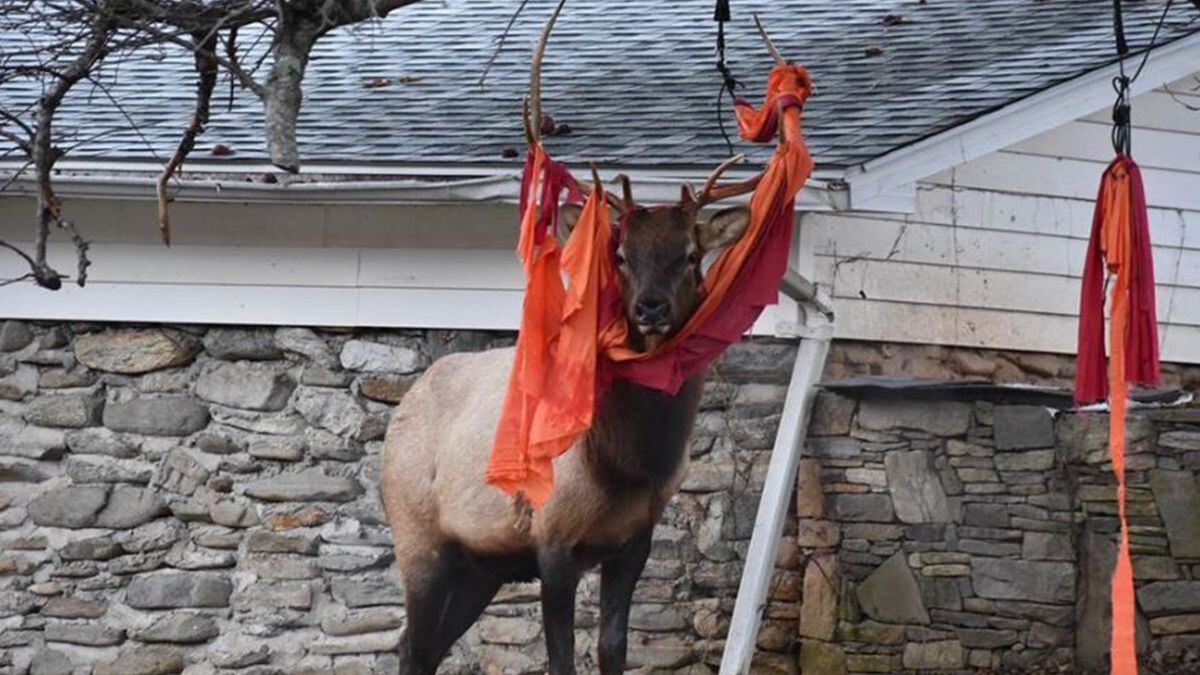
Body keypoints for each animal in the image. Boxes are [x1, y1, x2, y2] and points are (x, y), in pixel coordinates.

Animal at [379, 6, 790, 674]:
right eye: (619, 254)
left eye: (691, 255)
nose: (651, 307)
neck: (626, 466)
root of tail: (401, 410)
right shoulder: (552, 538)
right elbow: (561, 656)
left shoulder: (634, 539)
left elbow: (612, 648)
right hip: (417, 532)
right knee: (413, 645)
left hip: (480, 564)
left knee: (423, 646)